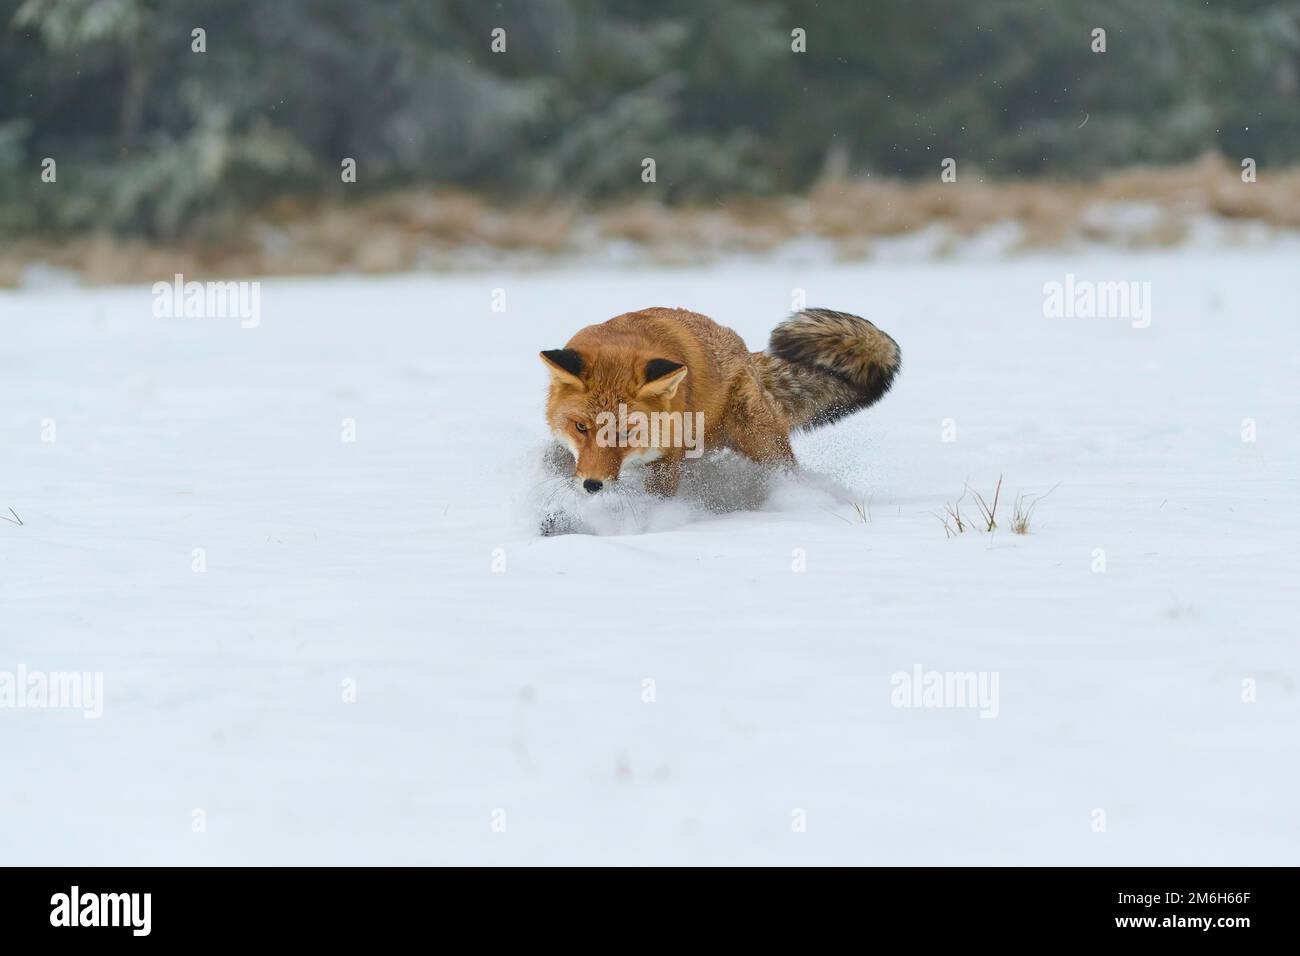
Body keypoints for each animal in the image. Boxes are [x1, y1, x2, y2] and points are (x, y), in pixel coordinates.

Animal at [540, 307, 900, 497]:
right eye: (581, 427)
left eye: (628, 433)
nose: (592, 485)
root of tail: (745, 353)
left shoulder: (667, 461)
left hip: (762, 445)